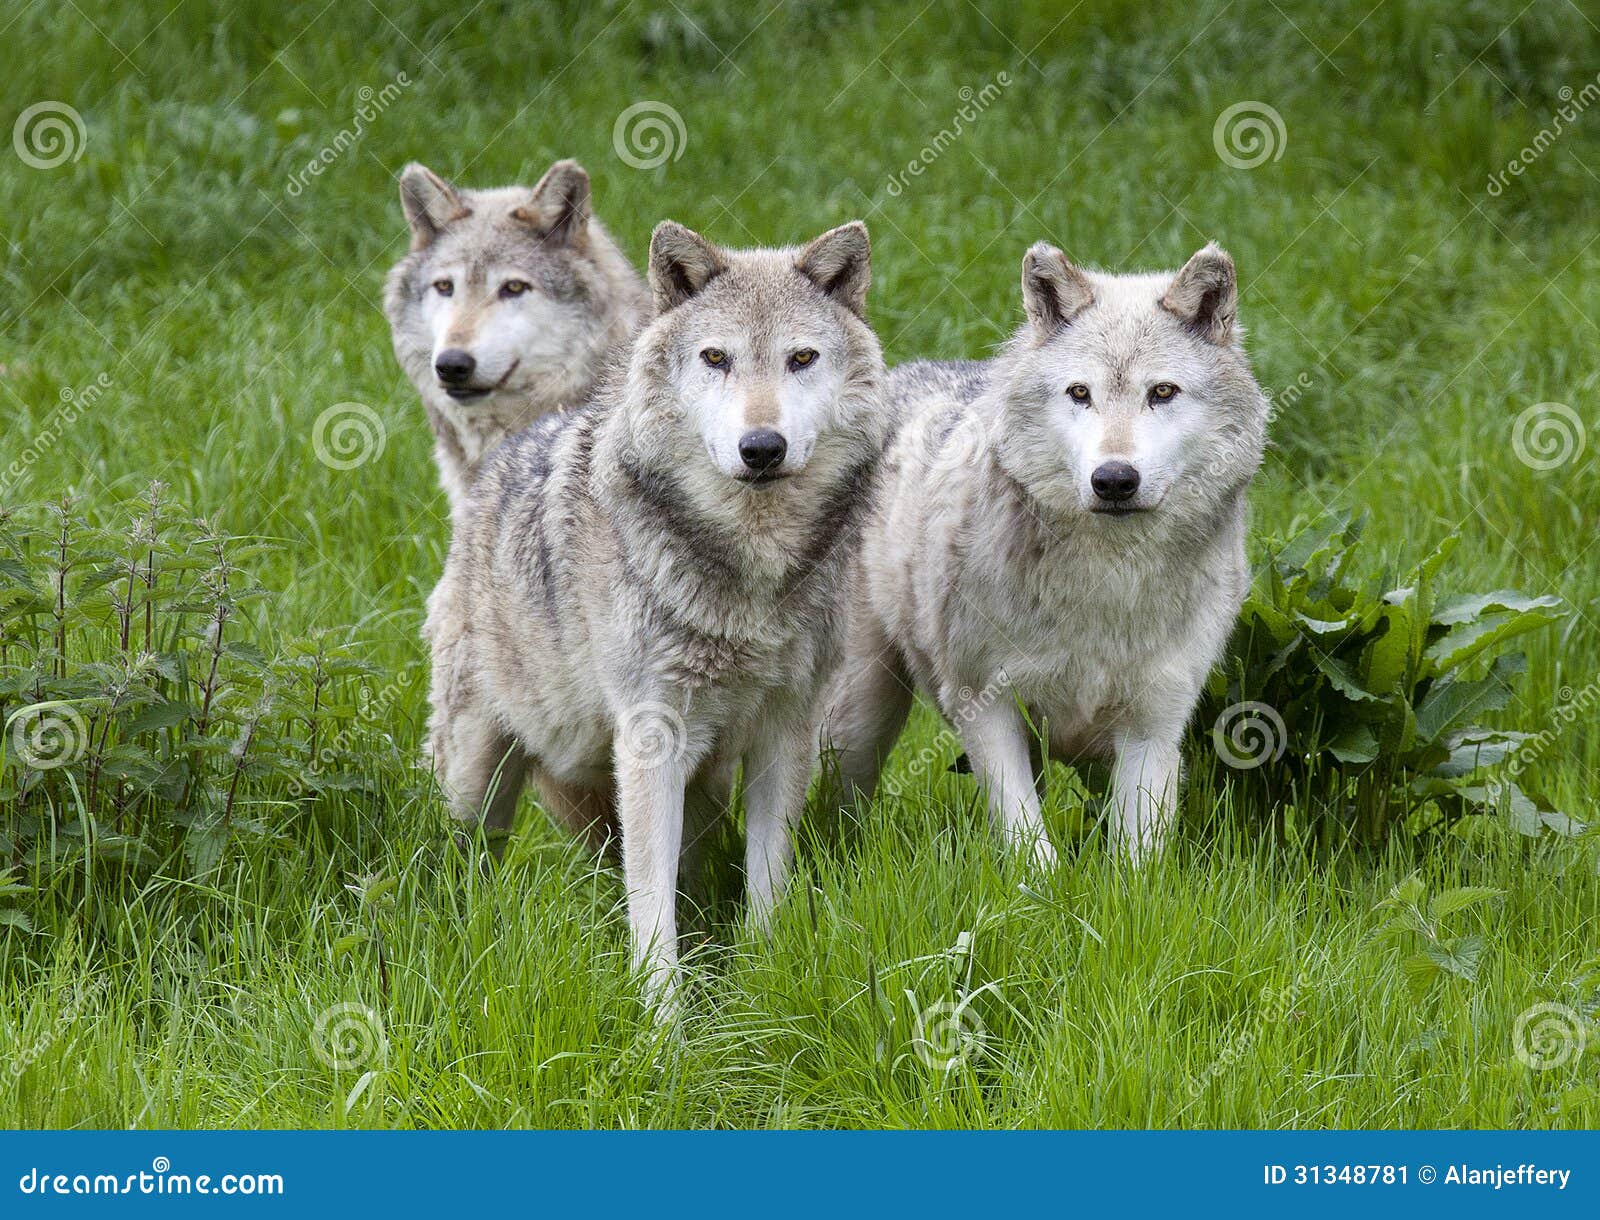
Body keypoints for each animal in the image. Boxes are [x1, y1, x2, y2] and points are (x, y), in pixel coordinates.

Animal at [426, 219, 887, 1000]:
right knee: (464, 859)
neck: (748, 572)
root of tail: (510, 448)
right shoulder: (649, 742)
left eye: (801, 359)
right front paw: (662, 1018)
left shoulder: (784, 733)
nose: (761, 447)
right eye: (715, 358)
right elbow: (651, 907)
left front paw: (760, 977)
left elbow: (766, 882)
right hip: (476, 777)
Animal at [821, 242, 1269, 863]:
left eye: (1162, 392)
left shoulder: (1156, 724)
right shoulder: (985, 706)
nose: (1114, 480)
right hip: (860, 717)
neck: (1108, 578)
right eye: (1080, 393)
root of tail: (898, 374)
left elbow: (1137, 863)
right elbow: (1031, 849)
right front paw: (1038, 887)